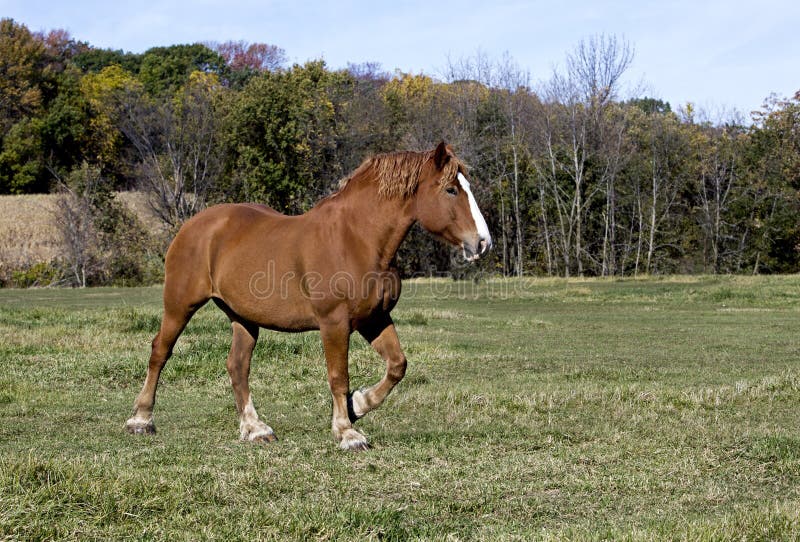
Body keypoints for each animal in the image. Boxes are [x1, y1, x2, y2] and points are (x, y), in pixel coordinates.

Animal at [125, 142, 492, 450]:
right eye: (451, 189)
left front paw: (358, 404)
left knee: (237, 366)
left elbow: (397, 365)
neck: (357, 239)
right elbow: (338, 375)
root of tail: (193, 226)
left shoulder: (374, 318)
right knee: (160, 352)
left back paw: (255, 428)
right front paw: (347, 431)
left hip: (243, 317)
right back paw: (141, 419)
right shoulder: (334, 323)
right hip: (180, 304)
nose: (482, 243)